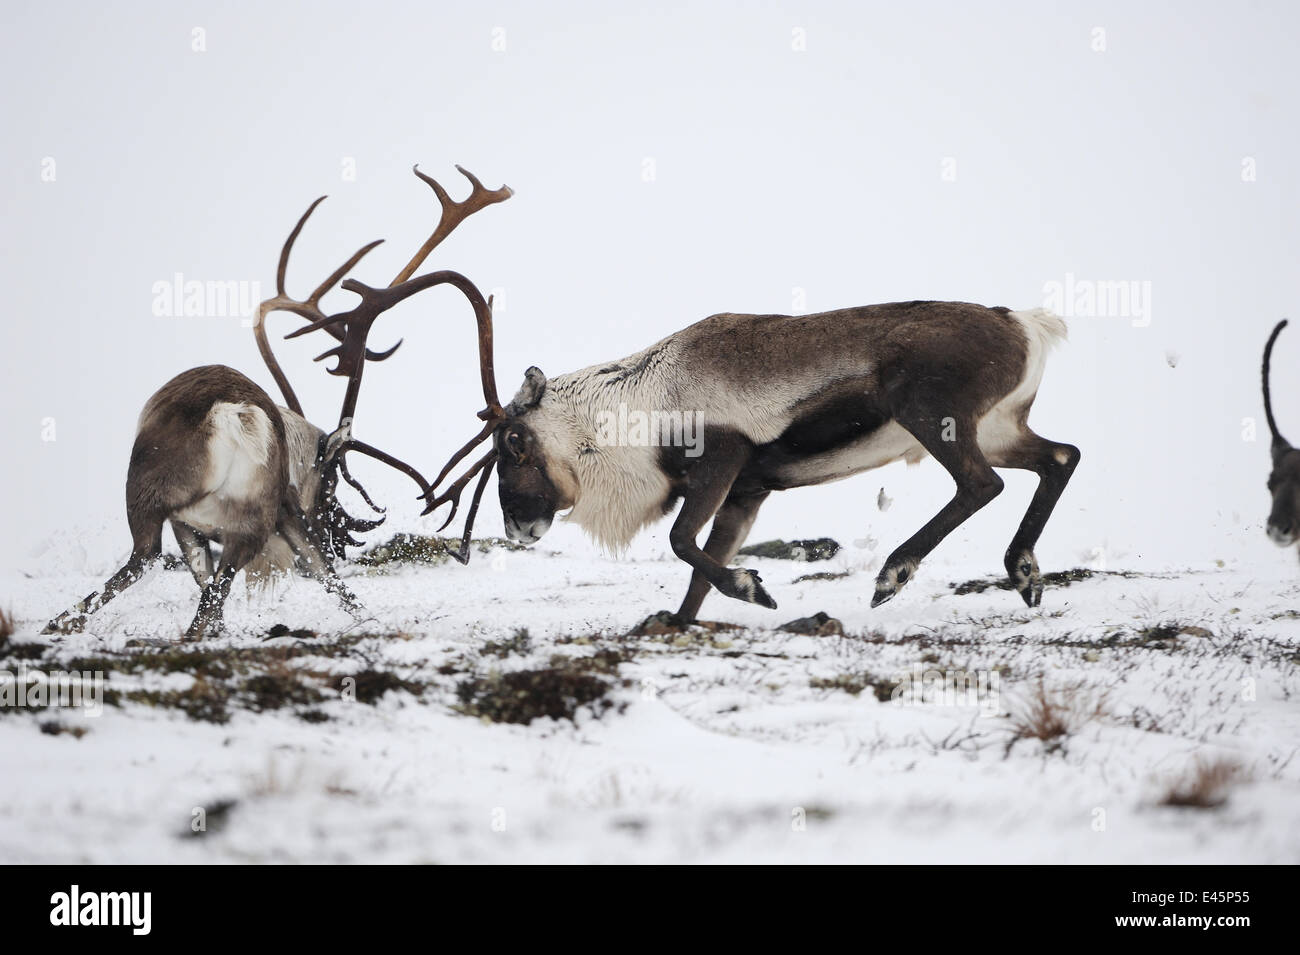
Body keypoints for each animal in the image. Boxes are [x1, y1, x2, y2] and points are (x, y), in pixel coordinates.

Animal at [44, 165, 513, 639]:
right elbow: (327, 577)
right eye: (332, 481)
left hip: (163, 506)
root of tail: (231, 416)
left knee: (150, 567)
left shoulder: (198, 525)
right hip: (234, 519)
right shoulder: (283, 513)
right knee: (197, 591)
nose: (345, 537)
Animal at [423, 301, 1081, 624]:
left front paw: (752, 589)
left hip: (934, 417)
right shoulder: (748, 491)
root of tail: (1028, 326)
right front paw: (680, 622)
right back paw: (1025, 574)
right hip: (999, 428)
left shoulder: (722, 459)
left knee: (981, 484)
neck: (631, 406)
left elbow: (682, 542)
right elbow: (699, 564)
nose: (518, 527)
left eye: (513, 441)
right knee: (1061, 455)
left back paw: (894, 574)